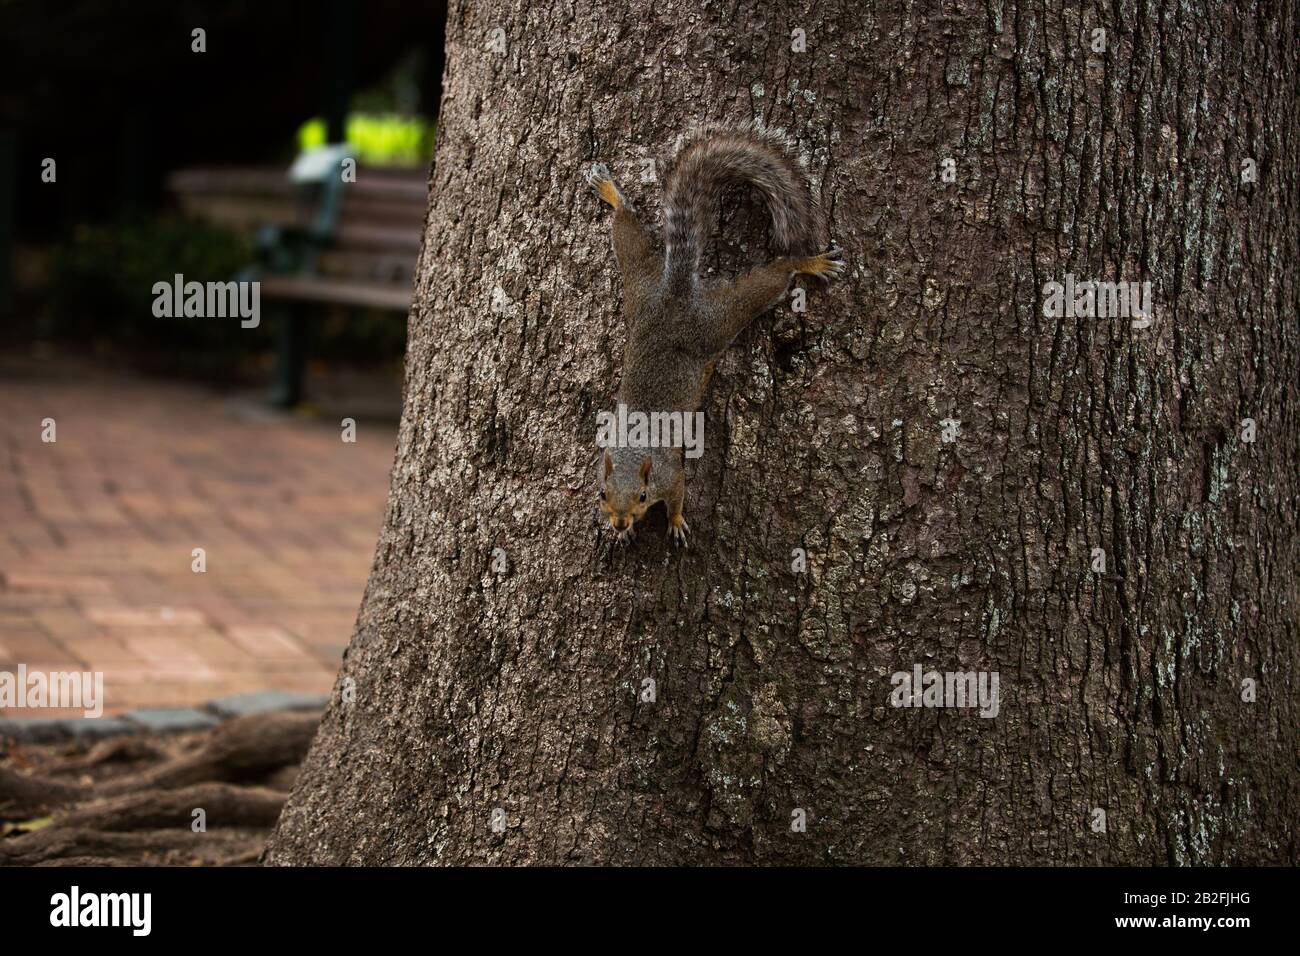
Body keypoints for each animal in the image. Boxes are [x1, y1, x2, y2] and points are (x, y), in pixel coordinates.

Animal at [588, 123, 845, 546]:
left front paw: (675, 522)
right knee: (628, 231)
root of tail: (674, 295)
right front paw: (620, 534)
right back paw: (609, 190)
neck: (631, 455)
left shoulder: (670, 476)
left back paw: (809, 261)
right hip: (640, 288)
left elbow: (678, 496)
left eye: (642, 495)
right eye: (602, 494)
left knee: (772, 278)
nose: (621, 522)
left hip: (717, 321)